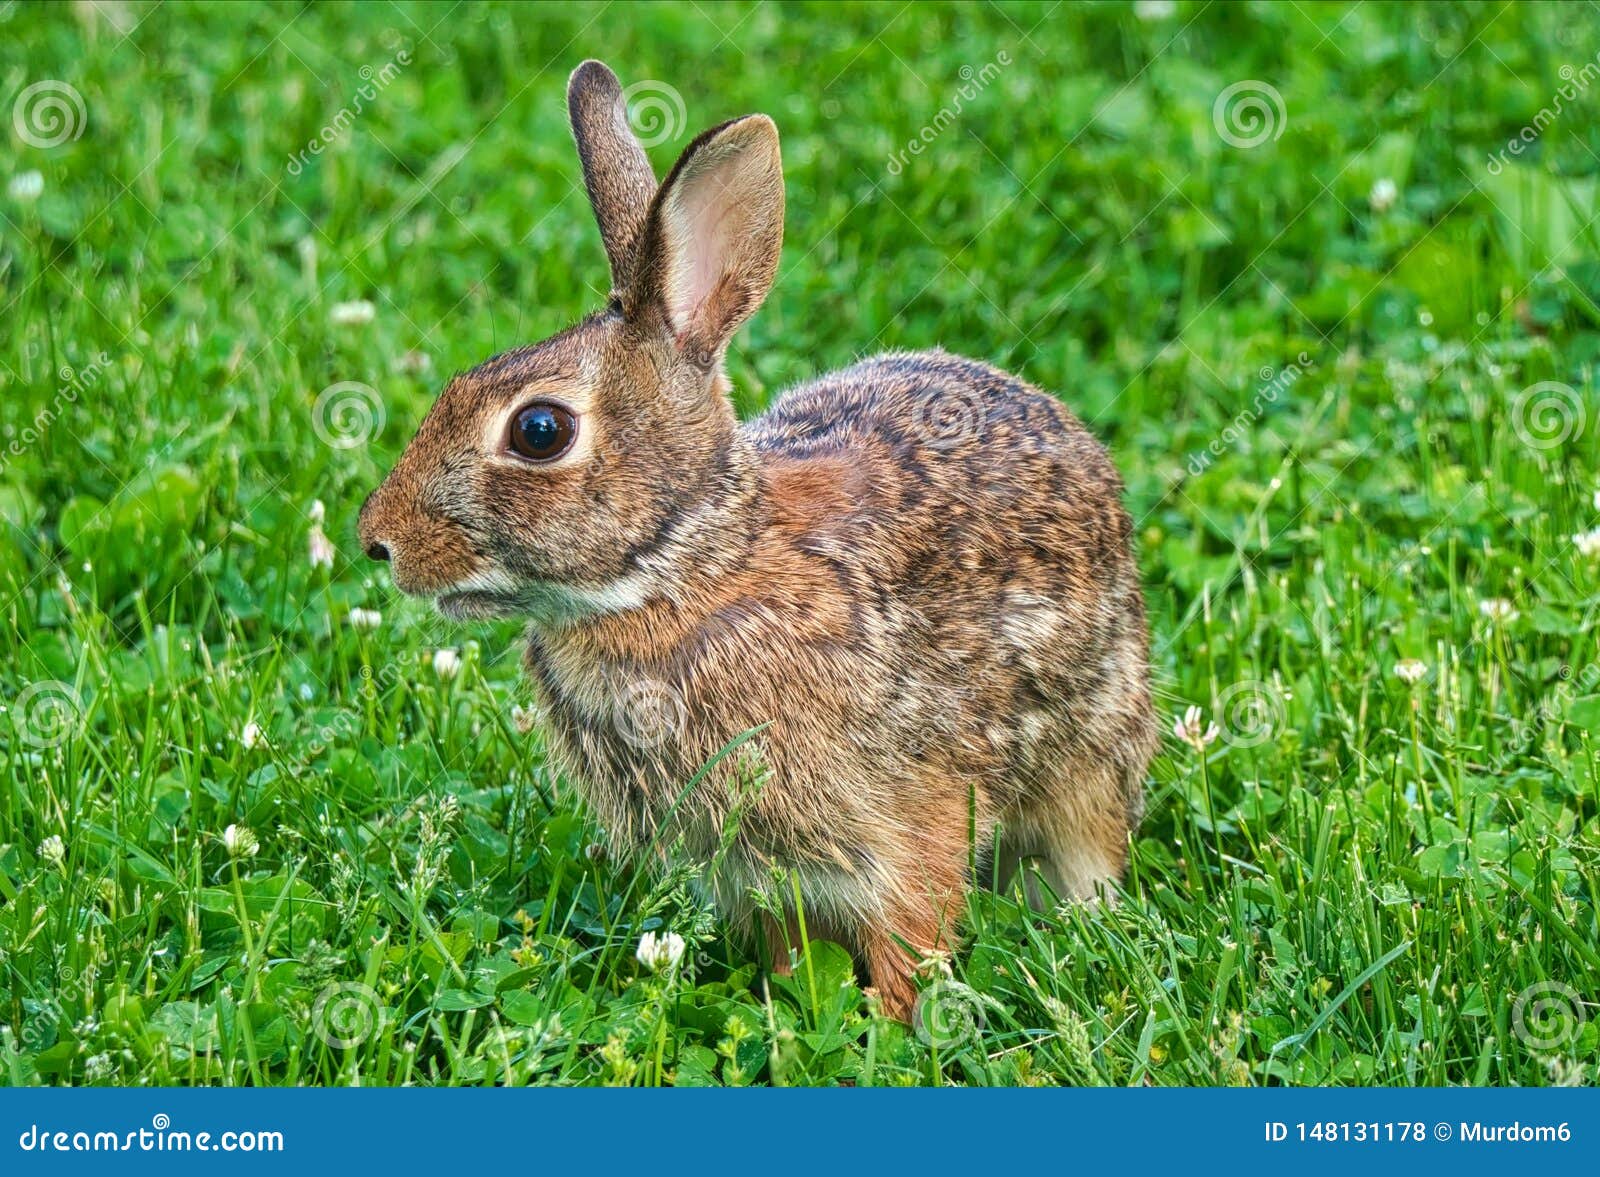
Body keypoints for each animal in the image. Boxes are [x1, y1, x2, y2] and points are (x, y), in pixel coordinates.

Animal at [358, 60, 1157, 1020]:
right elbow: (791, 949)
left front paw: (890, 1026)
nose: (377, 541)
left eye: (540, 431)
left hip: (1091, 763)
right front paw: (789, 1008)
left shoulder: (908, 821)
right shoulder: (760, 870)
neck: (689, 573)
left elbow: (912, 935)